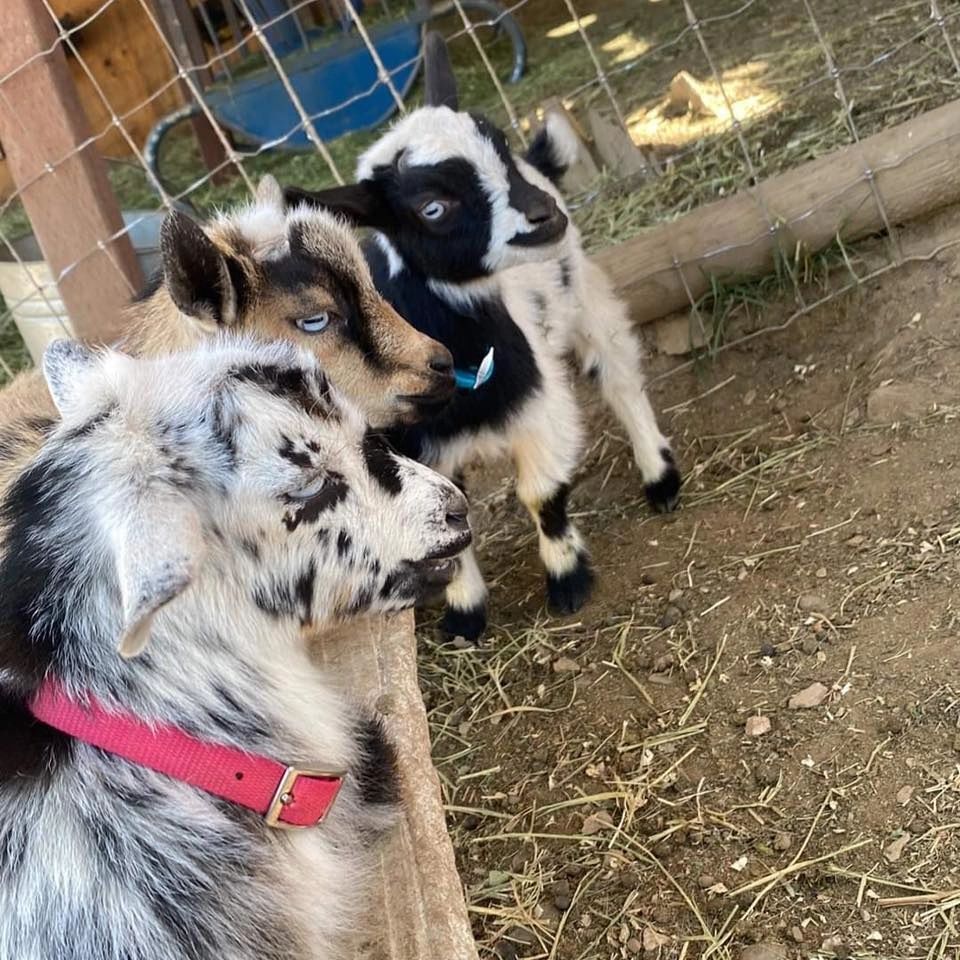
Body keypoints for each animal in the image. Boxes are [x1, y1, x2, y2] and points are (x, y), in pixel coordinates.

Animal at [284, 33, 681, 642]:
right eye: (432, 207)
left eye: (497, 146)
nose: (544, 215)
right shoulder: (406, 448)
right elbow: (446, 518)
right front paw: (465, 615)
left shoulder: (541, 407)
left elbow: (543, 493)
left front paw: (568, 579)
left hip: (581, 291)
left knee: (619, 377)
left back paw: (660, 475)